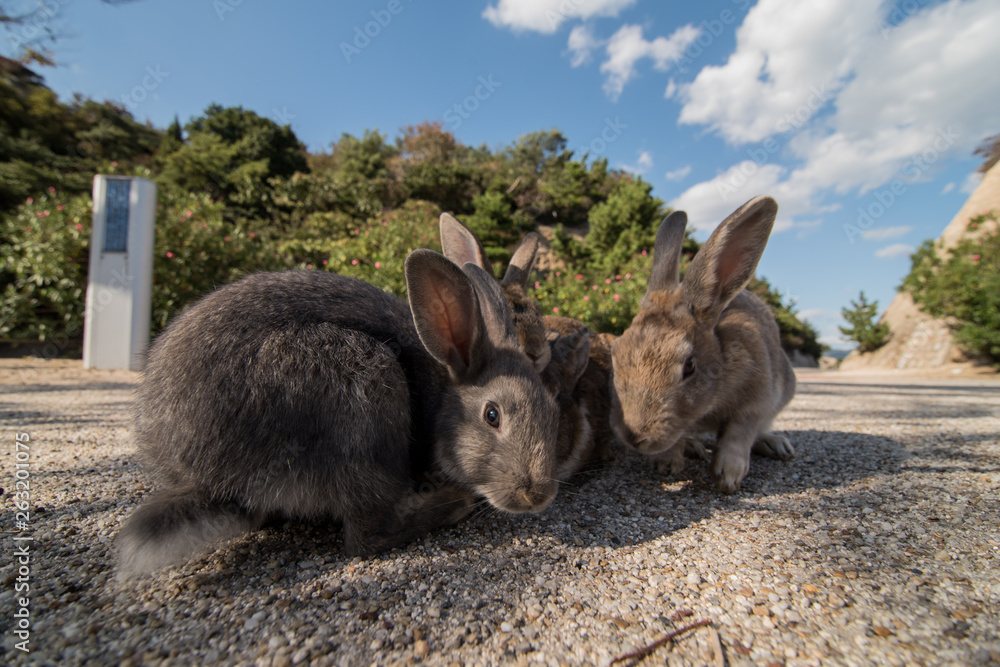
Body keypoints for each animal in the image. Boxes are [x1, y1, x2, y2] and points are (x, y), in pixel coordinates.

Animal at [116, 250, 560, 577]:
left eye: (553, 409)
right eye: (492, 415)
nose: (537, 495)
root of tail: (208, 478)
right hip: (363, 392)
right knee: (365, 537)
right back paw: (451, 504)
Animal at [609, 196, 796, 494]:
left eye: (689, 366)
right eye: (615, 354)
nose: (634, 436)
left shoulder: (757, 399)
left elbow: (741, 431)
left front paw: (728, 475)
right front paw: (669, 463)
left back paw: (777, 444)